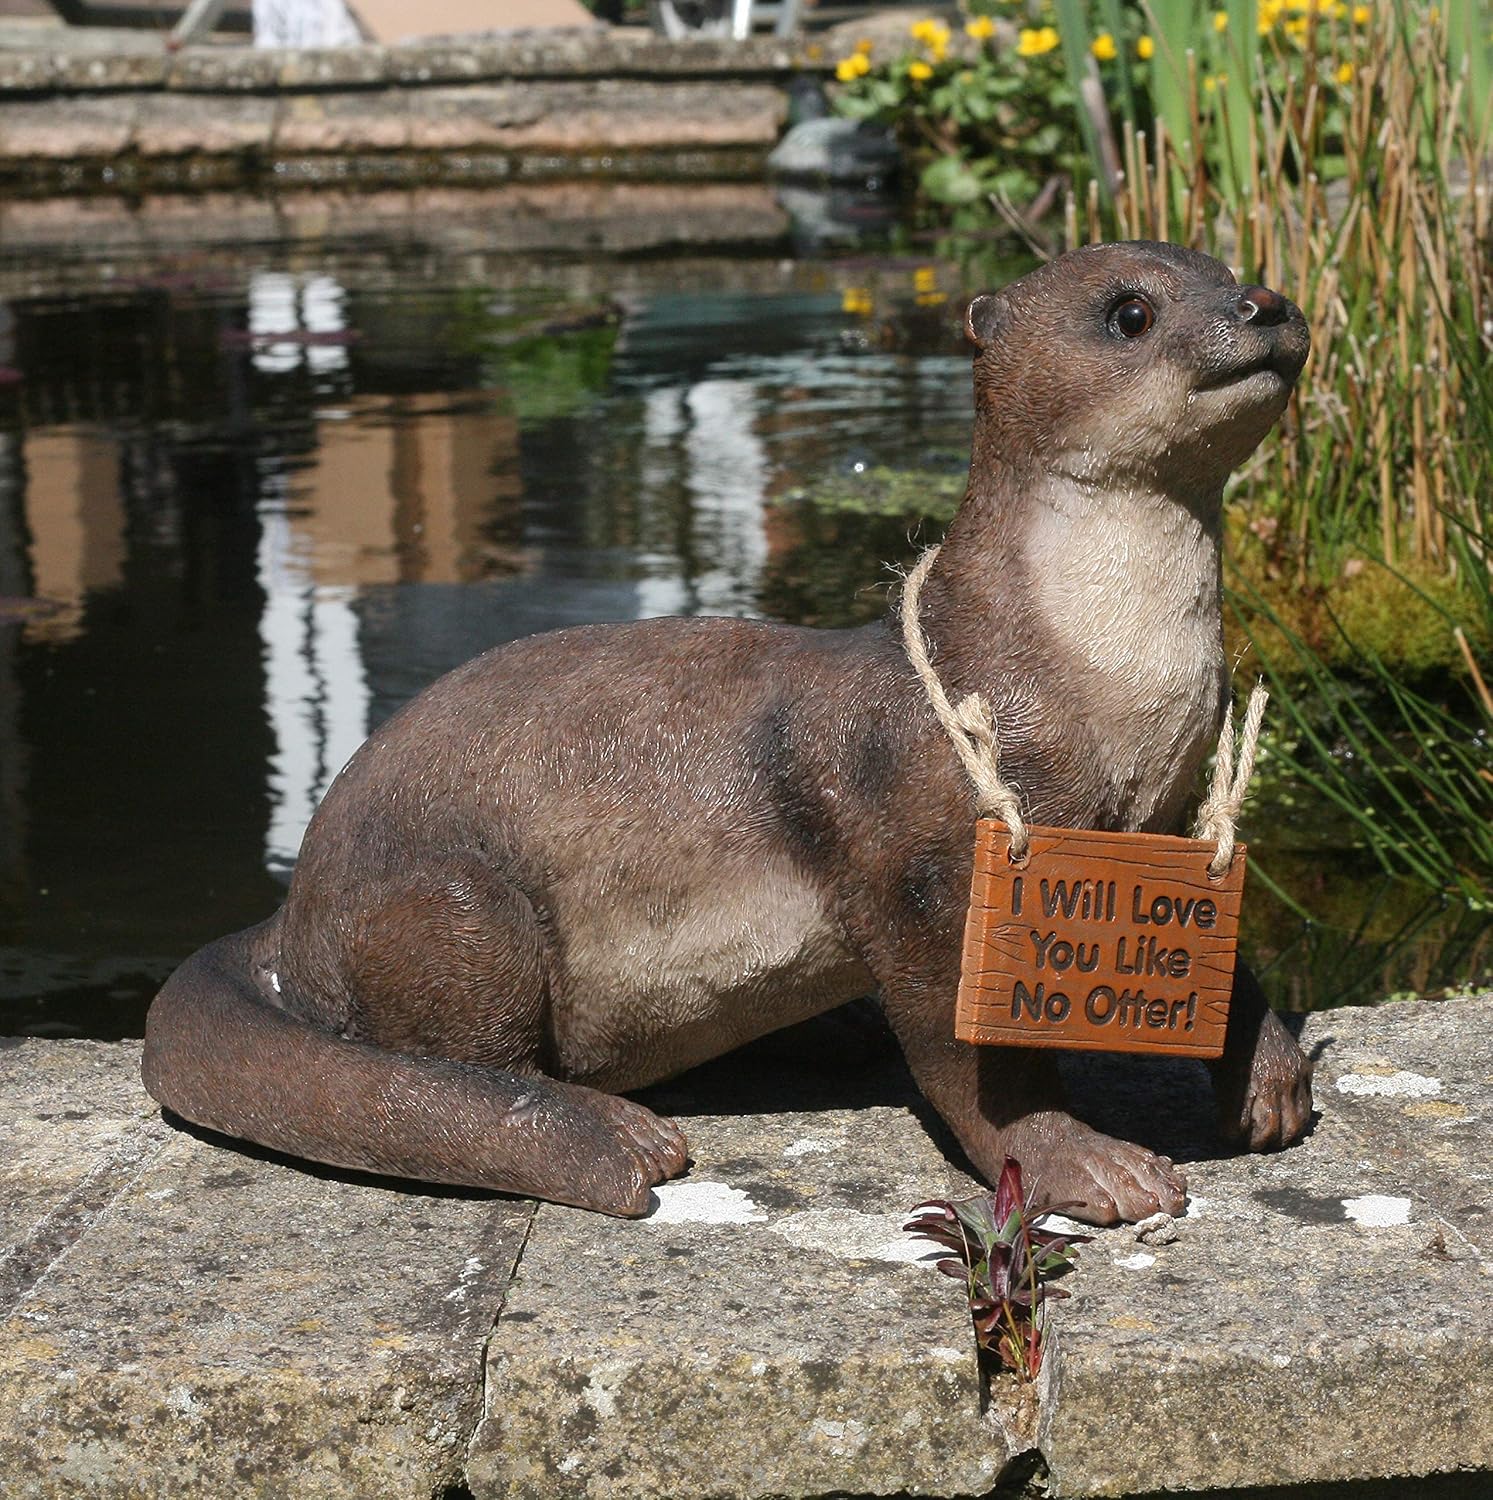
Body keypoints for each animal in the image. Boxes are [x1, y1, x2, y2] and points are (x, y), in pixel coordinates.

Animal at [143, 242, 1314, 1225]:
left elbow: (1231, 945)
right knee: (465, 1051)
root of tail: (293, 918)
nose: (1265, 305)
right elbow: (972, 1058)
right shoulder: (926, 858)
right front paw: (1079, 1162)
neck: (1068, 677)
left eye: (1232, 268)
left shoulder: (1168, 817)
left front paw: (1266, 1074)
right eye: (1130, 312)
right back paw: (613, 1134)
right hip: (449, 907)